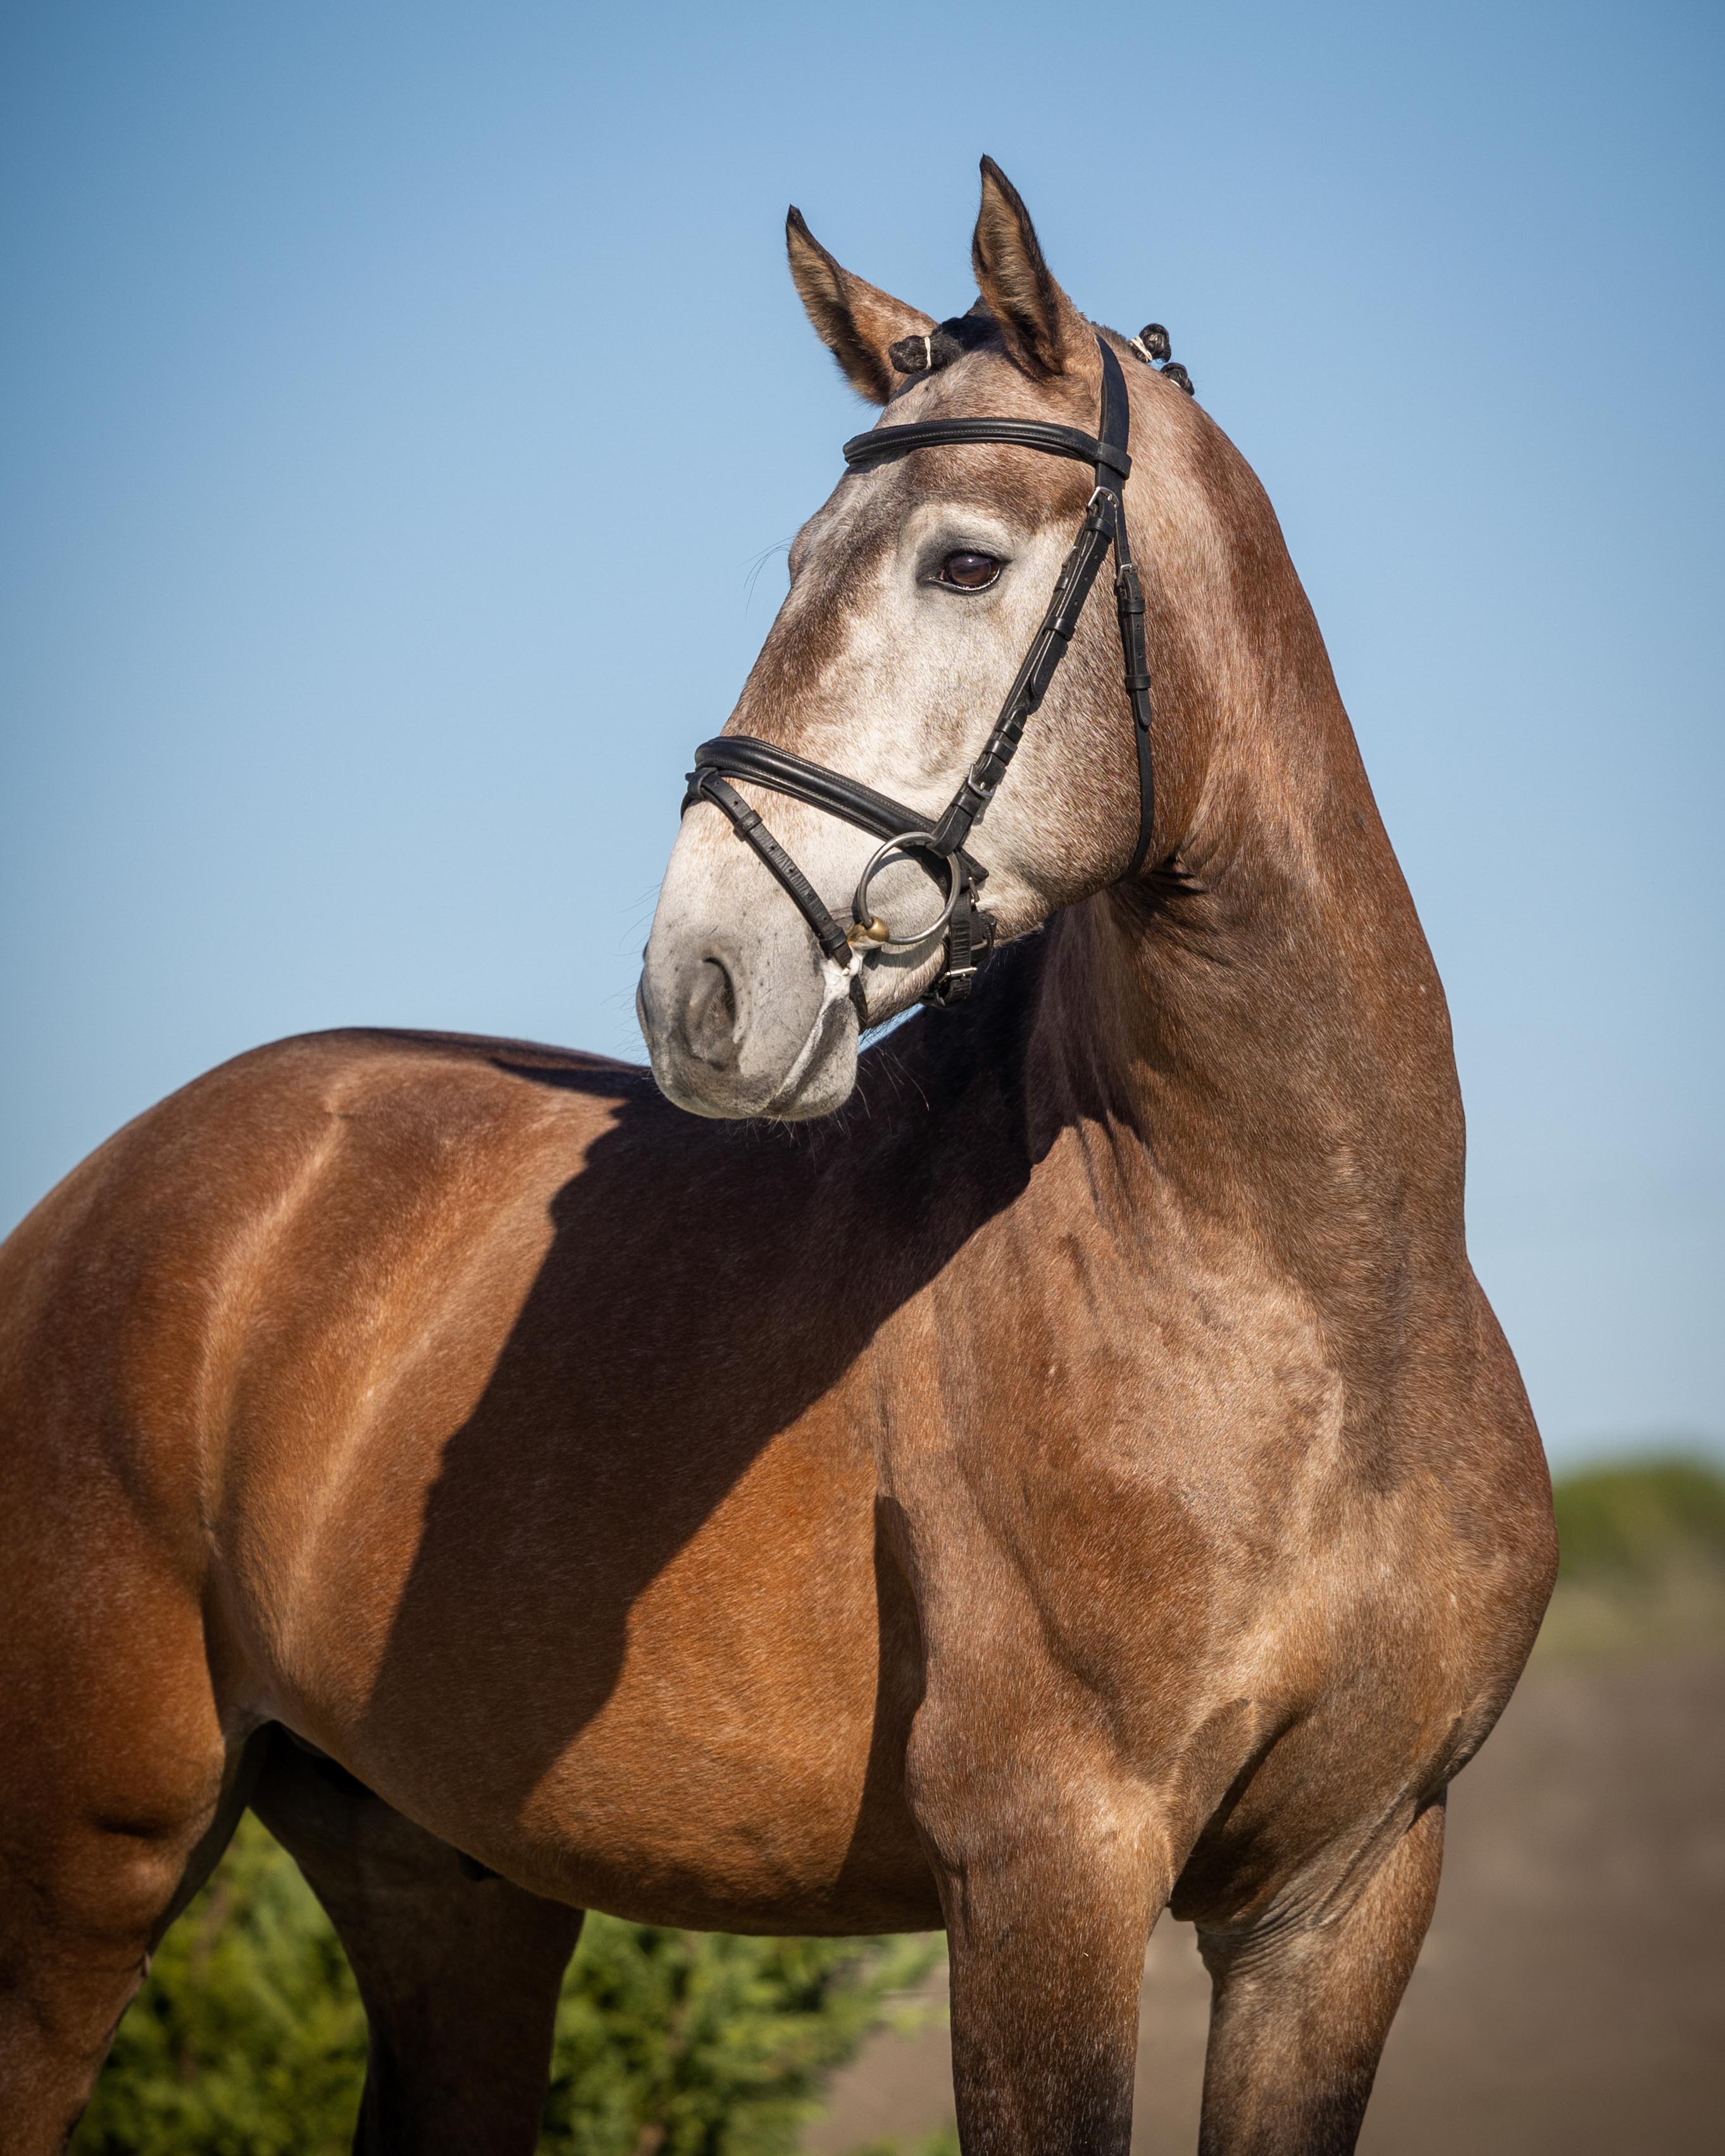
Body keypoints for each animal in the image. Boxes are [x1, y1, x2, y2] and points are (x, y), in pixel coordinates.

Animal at [0, 159, 1556, 2156]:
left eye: (960, 561)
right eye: (800, 559)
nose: (703, 986)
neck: (1312, 1302)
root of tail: (90, 1204)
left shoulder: (1341, 1898)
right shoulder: (1046, 1875)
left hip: (444, 1890)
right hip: (81, 1861)